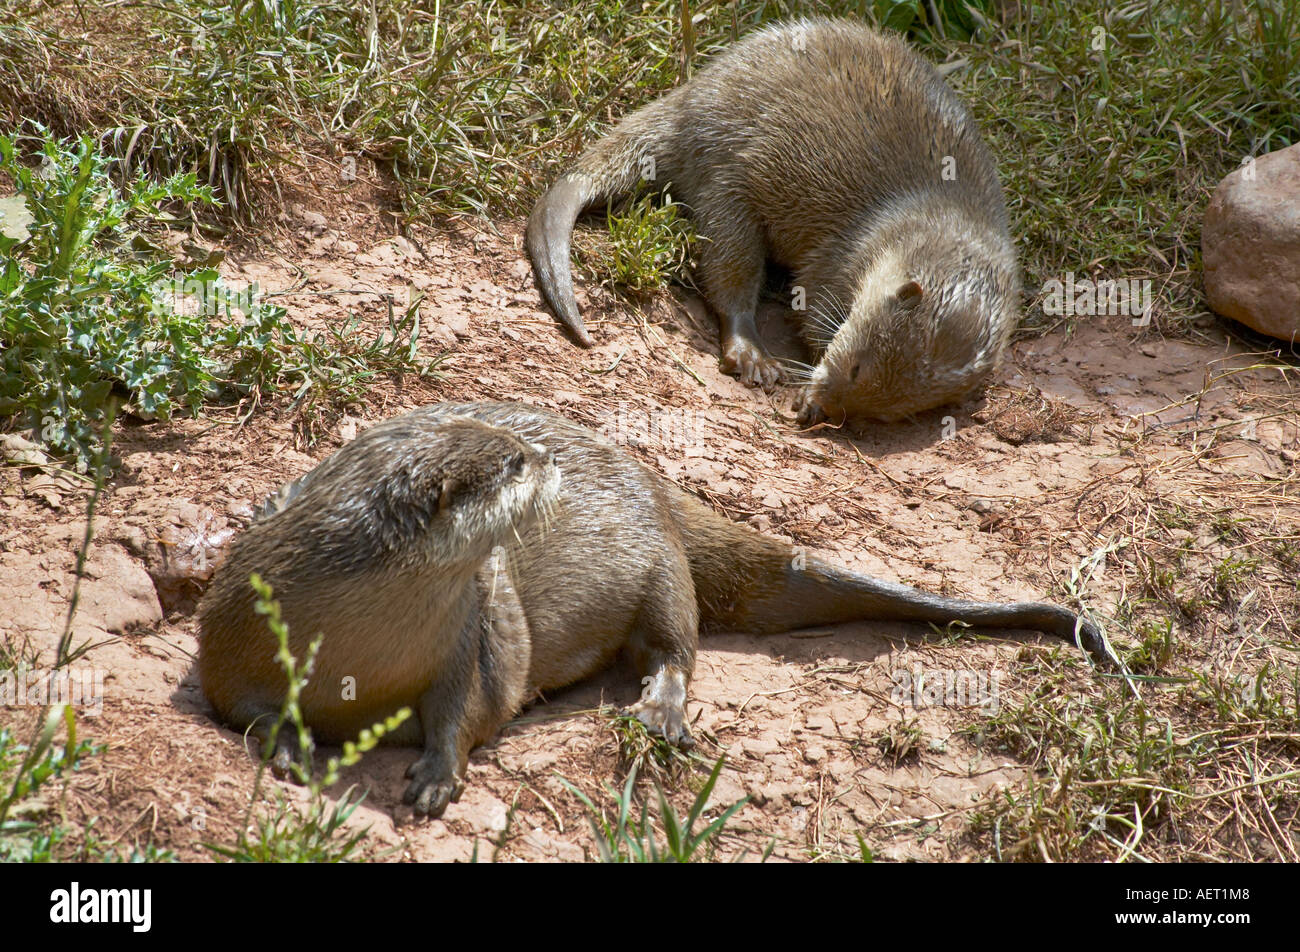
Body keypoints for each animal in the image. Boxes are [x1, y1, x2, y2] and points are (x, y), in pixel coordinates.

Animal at [199, 403, 1110, 818]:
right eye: (513, 464)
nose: (546, 455)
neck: (362, 647)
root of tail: (654, 477)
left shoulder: (479, 630)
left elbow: (474, 704)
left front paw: (434, 773)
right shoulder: (234, 620)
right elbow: (236, 703)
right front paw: (287, 744)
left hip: (662, 567)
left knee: (675, 644)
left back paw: (661, 713)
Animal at [527, 18, 1019, 423]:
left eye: (886, 412)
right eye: (856, 367)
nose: (827, 403)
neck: (929, 216)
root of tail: (692, 102)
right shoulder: (844, 256)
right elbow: (814, 313)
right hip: (726, 180)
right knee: (729, 273)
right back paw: (751, 356)